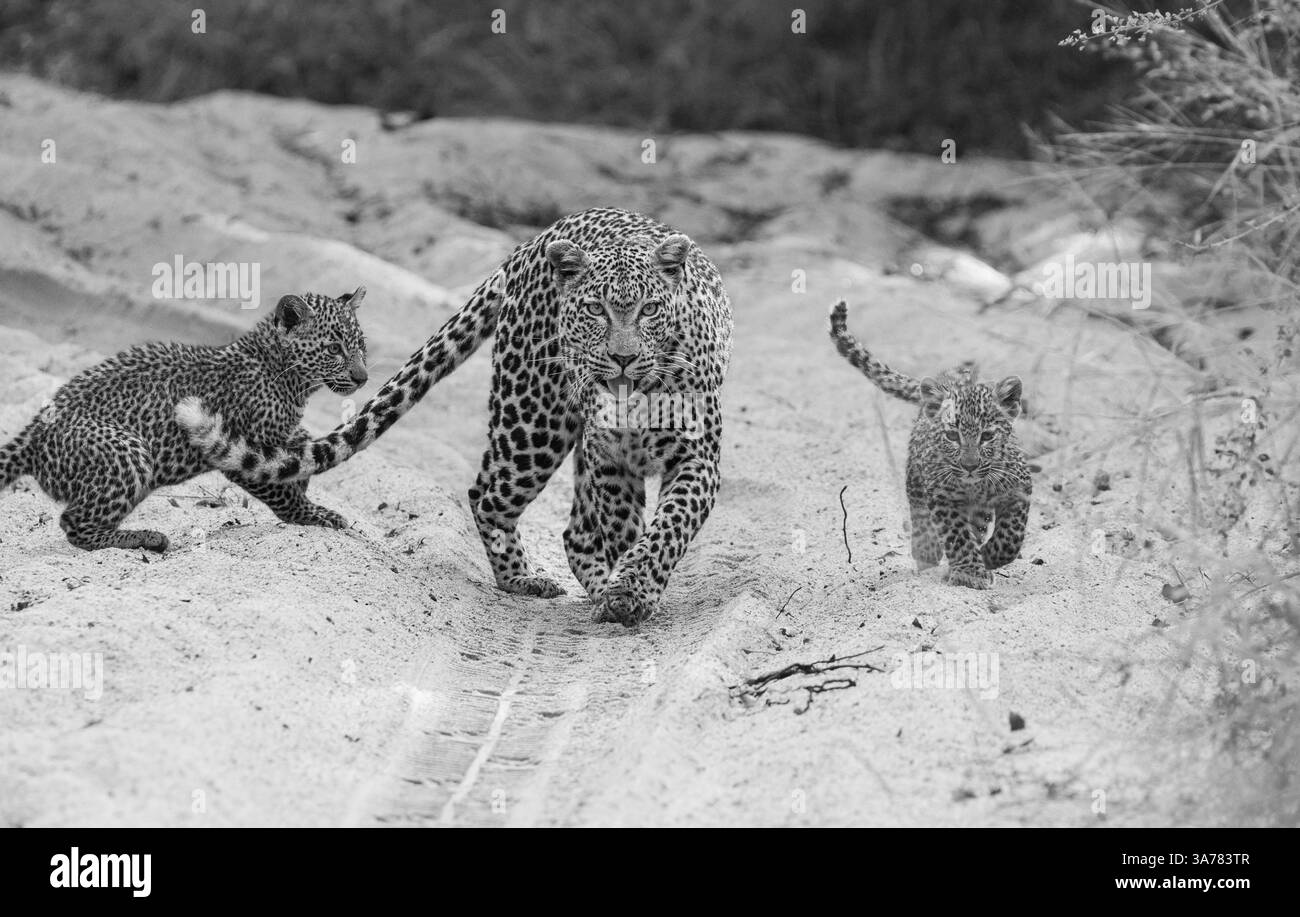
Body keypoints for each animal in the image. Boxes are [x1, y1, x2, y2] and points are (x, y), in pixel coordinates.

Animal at [0, 288, 369, 552]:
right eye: (334, 349)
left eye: (362, 346)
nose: (363, 377)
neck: (285, 375)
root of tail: (33, 433)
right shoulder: (242, 453)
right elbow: (283, 493)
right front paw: (315, 515)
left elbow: (299, 442)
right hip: (127, 452)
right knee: (75, 523)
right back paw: (145, 538)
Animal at [175, 208, 734, 627]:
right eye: (596, 309)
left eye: (649, 310)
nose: (621, 358)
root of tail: (535, 240)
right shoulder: (610, 459)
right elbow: (624, 529)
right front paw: (622, 594)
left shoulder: (695, 459)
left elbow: (667, 527)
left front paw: (630, 592)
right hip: (534, 421)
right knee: (493, 497)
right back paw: (525, 579)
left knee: (573, 529)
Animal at [829, 298, 1031, 588]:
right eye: (953, 436)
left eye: (987, 436)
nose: (969, 466)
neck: (976, 485)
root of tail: (944, 380)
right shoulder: (943, 498)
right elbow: (957, 536)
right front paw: (970, 572)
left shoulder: (1019, 490)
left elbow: (1011, 538)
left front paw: (989, 557)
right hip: (916, 473)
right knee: (919, 510)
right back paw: (926, 550)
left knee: (978, 525)